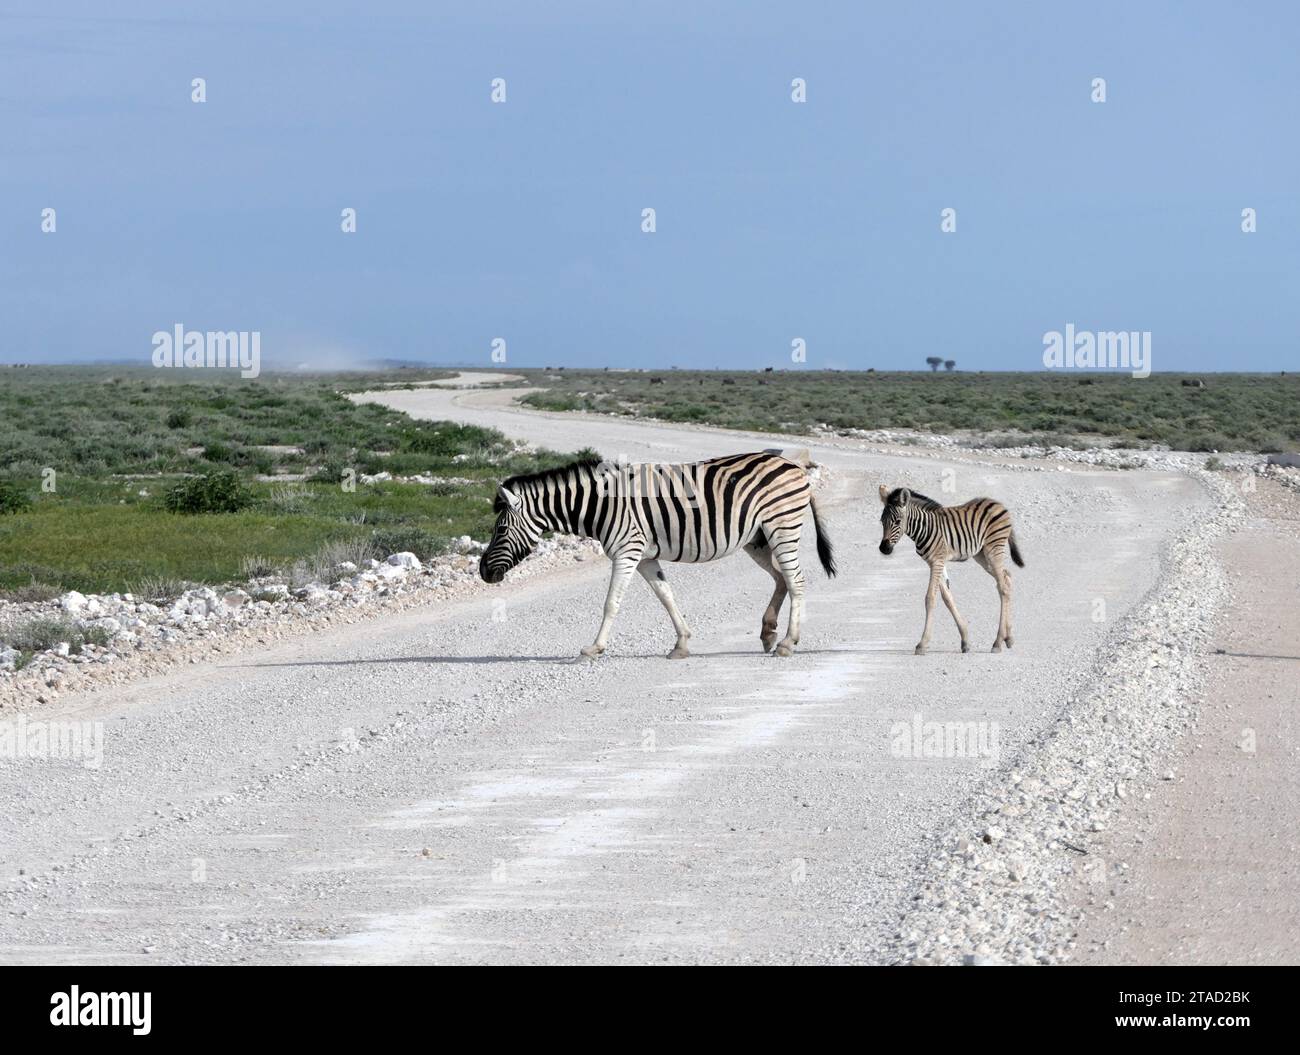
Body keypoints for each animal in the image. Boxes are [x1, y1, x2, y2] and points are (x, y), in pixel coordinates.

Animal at [479, 452, 836, 659]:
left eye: (500, 530)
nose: (483, 572)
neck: (601, 505)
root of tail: (795, 466)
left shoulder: (627, 551)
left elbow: (611, 603)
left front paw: (593, 648)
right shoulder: (646, 556)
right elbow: (666, 596)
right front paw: (682, 644)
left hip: (781, 526)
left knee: (796, 580)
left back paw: (787, 642)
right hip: (757, 538)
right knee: (781, 579)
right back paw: (768, 633)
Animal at [876, 484, 1025, 655]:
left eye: (898, 521)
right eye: (882, 521)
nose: (884, 549)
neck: (923, 529)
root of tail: (998, 504)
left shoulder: (937, 561)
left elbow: (930, 598)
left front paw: (922, 644)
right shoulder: (934, 563)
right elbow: (947, 598)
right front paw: (965, 640)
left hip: (993, 549)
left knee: (1003, 587)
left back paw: (998, 642)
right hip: (982, 555)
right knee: (1007, 577)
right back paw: (1009, 638)